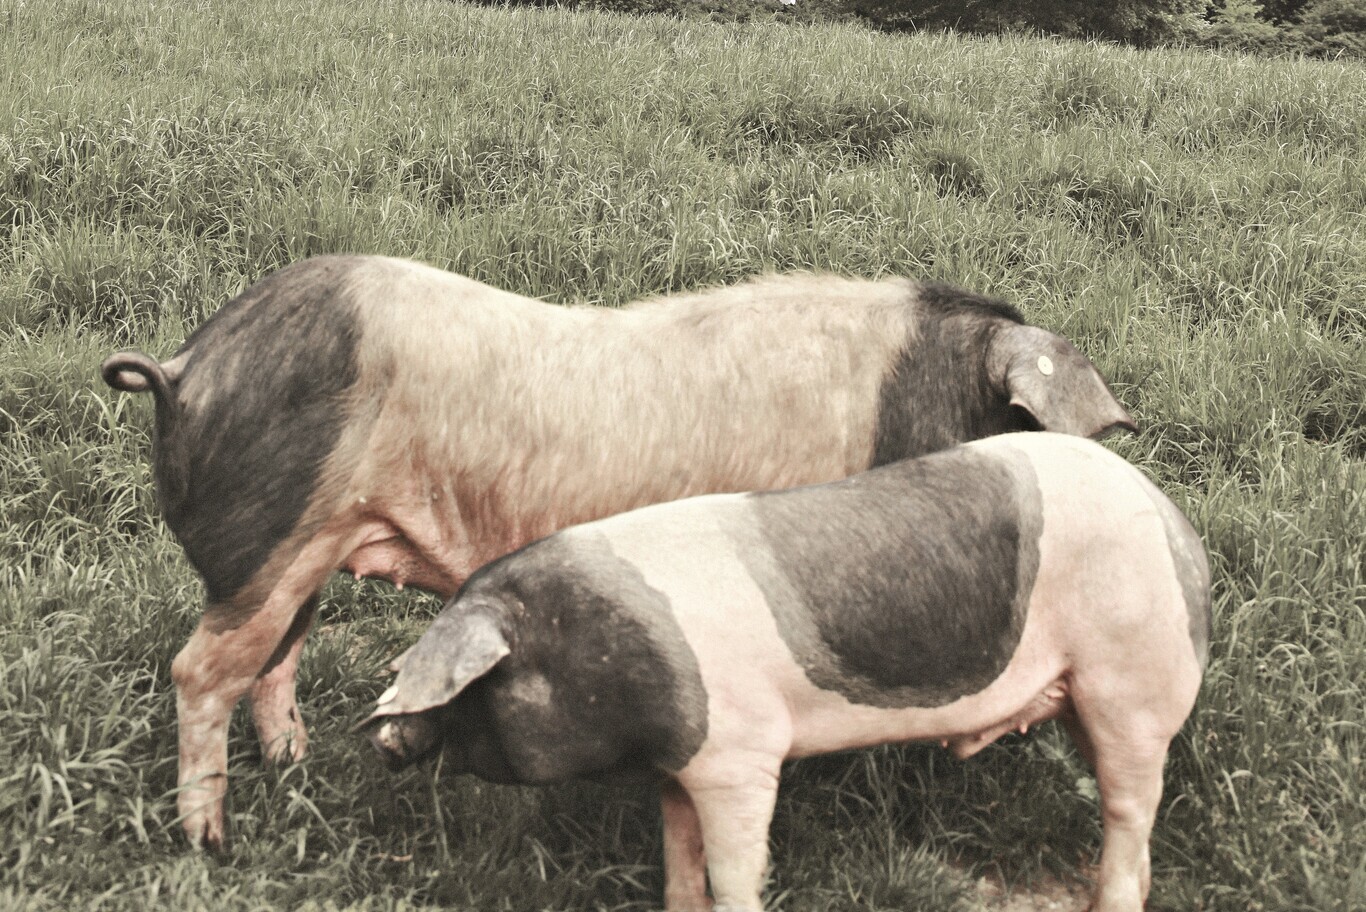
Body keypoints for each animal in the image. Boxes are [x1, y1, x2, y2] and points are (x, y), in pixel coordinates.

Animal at [100, 255, 1135, 849]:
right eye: (1031, 427)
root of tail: (186, 368)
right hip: (272, 541)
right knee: (201, 669)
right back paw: (211, 843)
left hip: (312, 547)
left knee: (274, 660)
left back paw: (295, 769)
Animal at [364, 432, 1209, 912]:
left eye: (476, 682)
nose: (384, 737)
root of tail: (1177, 527)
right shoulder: (682, 763)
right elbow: (680, 853)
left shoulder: (741, 755)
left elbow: (737, 868)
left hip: (1131, 679)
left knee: (1130, 812)